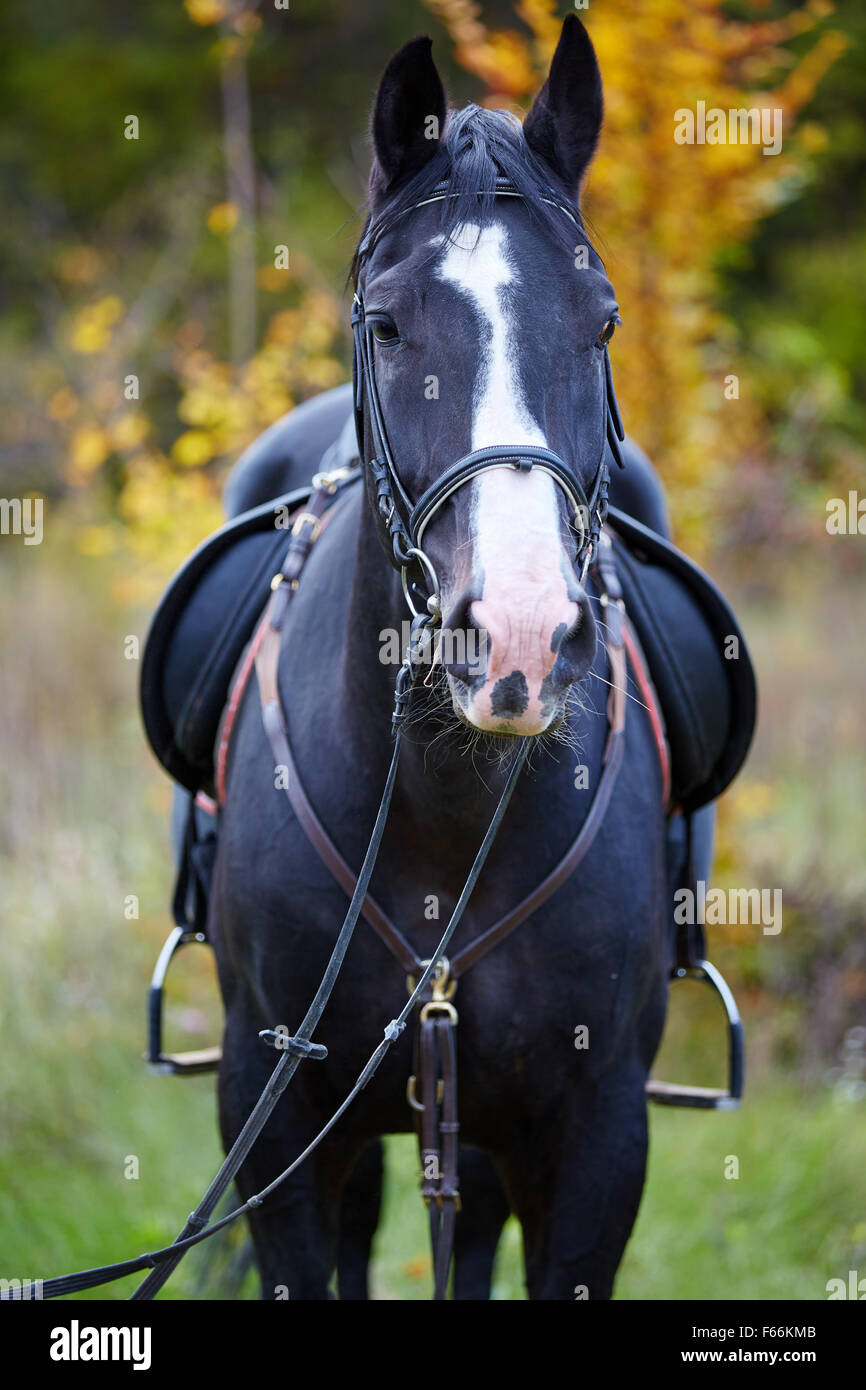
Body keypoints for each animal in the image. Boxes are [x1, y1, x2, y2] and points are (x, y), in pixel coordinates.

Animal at [210, 16, 672, 1301]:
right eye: (384, 323)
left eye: (600, 321)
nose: (514, 638)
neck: (442, 812)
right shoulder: (270, 1113)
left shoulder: (596, 1132)